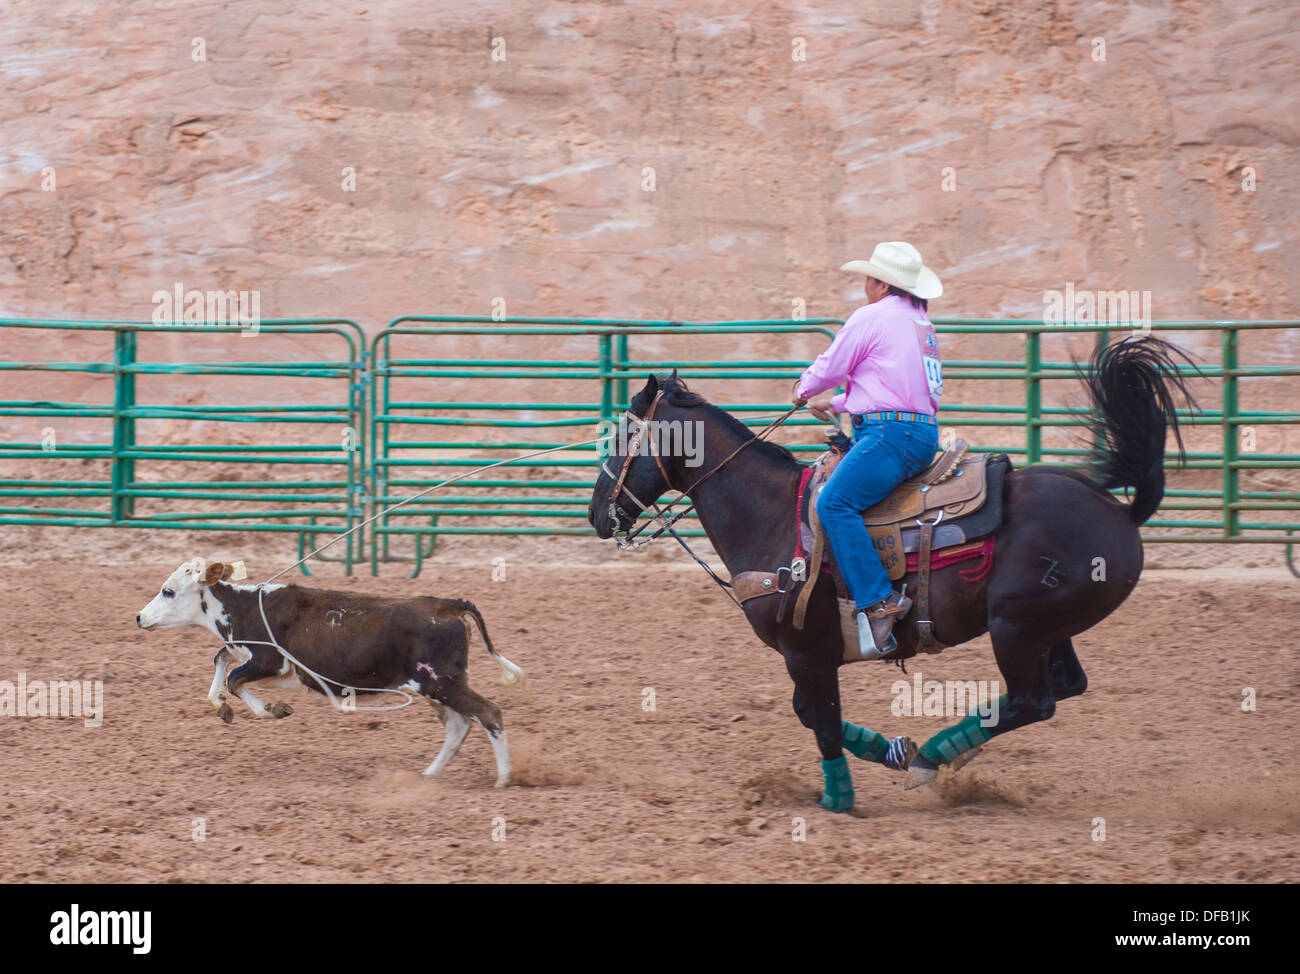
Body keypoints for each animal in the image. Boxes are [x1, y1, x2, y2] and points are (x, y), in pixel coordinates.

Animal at [136, 559, 523, 787]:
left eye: (168, 591)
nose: (139, 617)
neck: (242, 608)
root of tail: (445, 605)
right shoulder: (273, 667)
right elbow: (221, 660)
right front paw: (221, 705)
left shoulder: (269, 663)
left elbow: (233, 678)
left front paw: (272, 709)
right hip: (437, 686)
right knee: (459, 725)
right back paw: (428, 776)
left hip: (442, 682)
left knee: (488, 713)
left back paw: (504, 778)